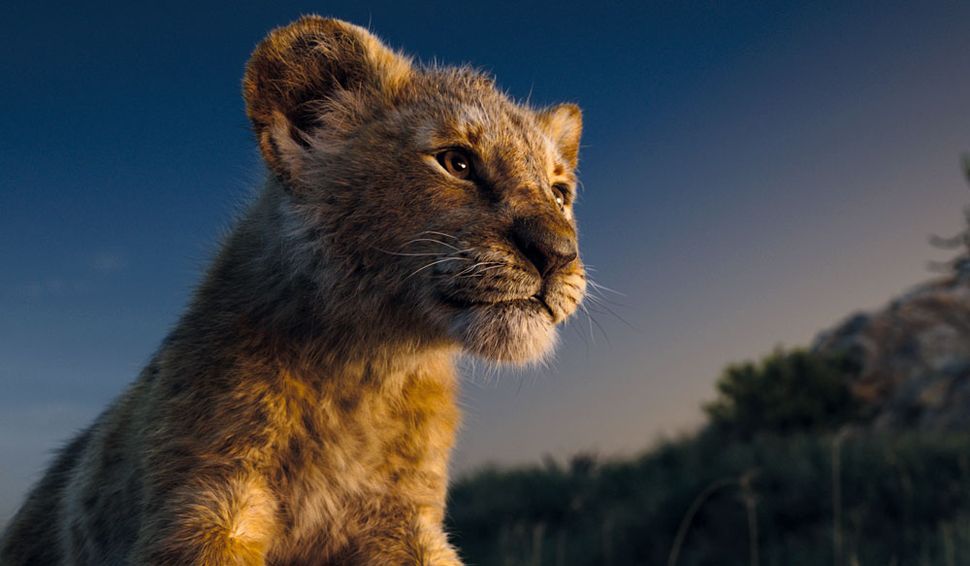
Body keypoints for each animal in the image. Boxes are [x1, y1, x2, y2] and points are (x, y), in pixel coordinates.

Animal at [0, 16, 585, 565]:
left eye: (560, 193)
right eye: (457, 162)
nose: (558, 253)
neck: (368, 371)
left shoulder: (403, 520)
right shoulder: (206, 500)